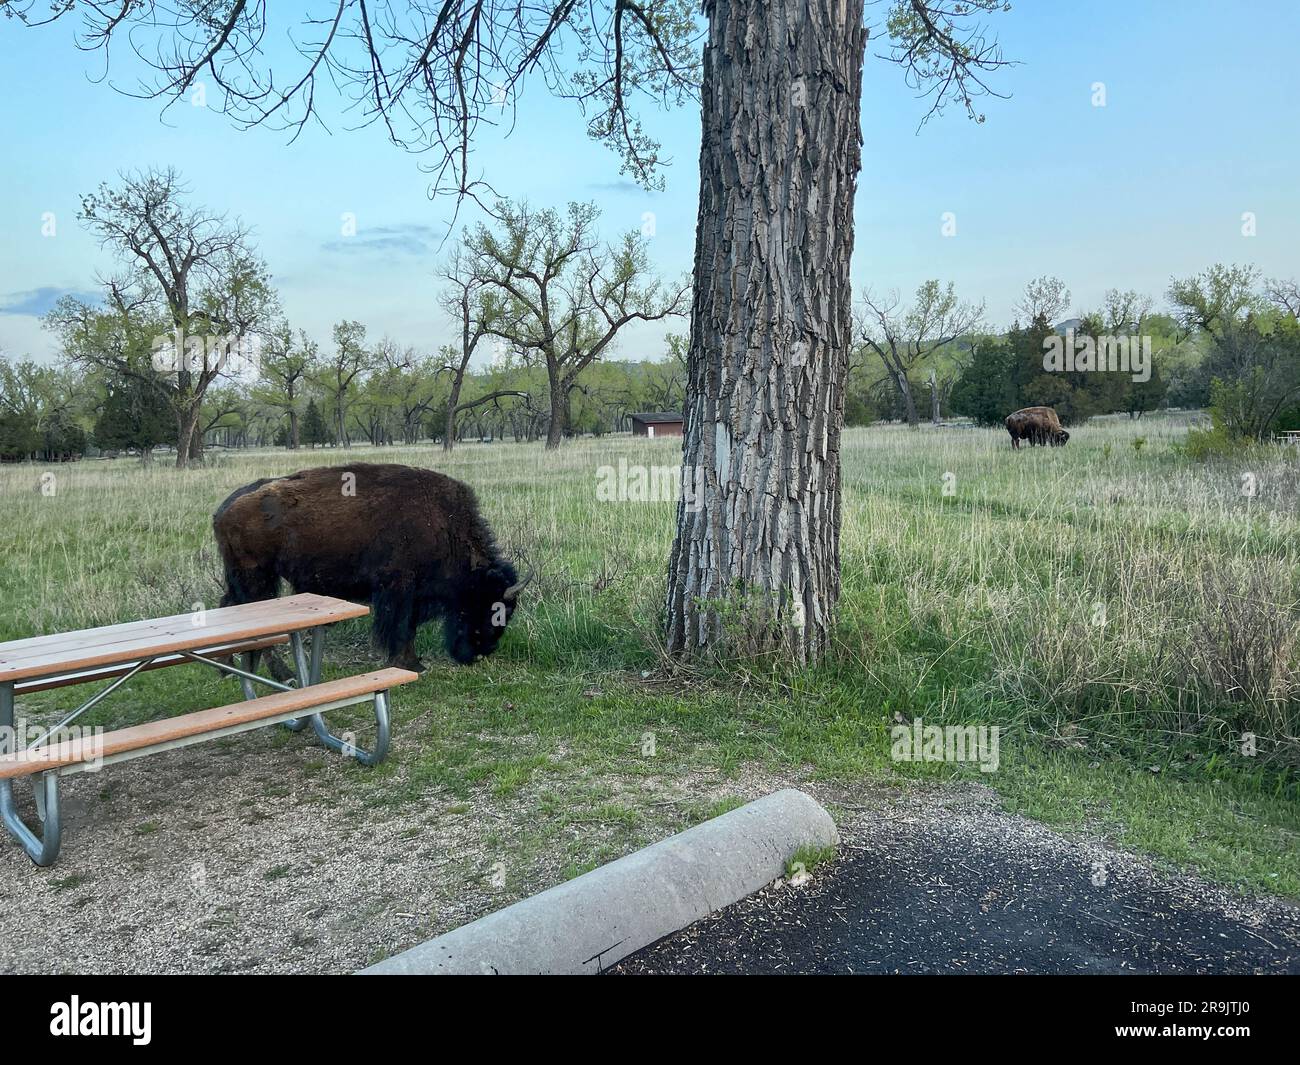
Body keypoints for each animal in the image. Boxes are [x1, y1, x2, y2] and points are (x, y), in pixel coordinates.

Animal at [213, 463, 527, 671]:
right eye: (487, 607)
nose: (482, 652)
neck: (442, 523)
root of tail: (225, 507)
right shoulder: (398, 588)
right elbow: (400, 627)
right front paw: (409, 665)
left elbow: (409, 627)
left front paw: (414, 662)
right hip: (257, 577)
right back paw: (284, 675)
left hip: (243, 577)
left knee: (228, 605)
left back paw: (227, 665)